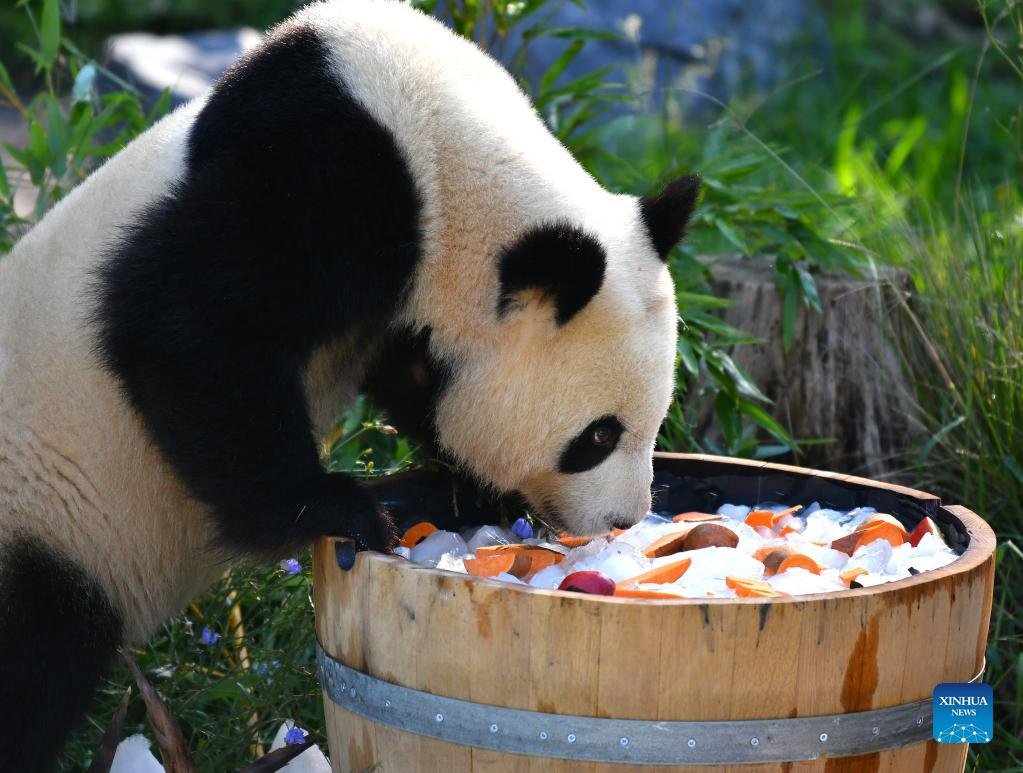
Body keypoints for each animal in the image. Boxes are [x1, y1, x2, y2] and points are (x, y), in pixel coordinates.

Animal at [0, 0, 698, 767]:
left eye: (657, 418)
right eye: (597, 437)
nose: (624, 519)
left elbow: (418, 384)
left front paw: (466, 490)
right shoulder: (318, 178)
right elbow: (185, 327)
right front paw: (344, 508)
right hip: (44, 517)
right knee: (34, 659)